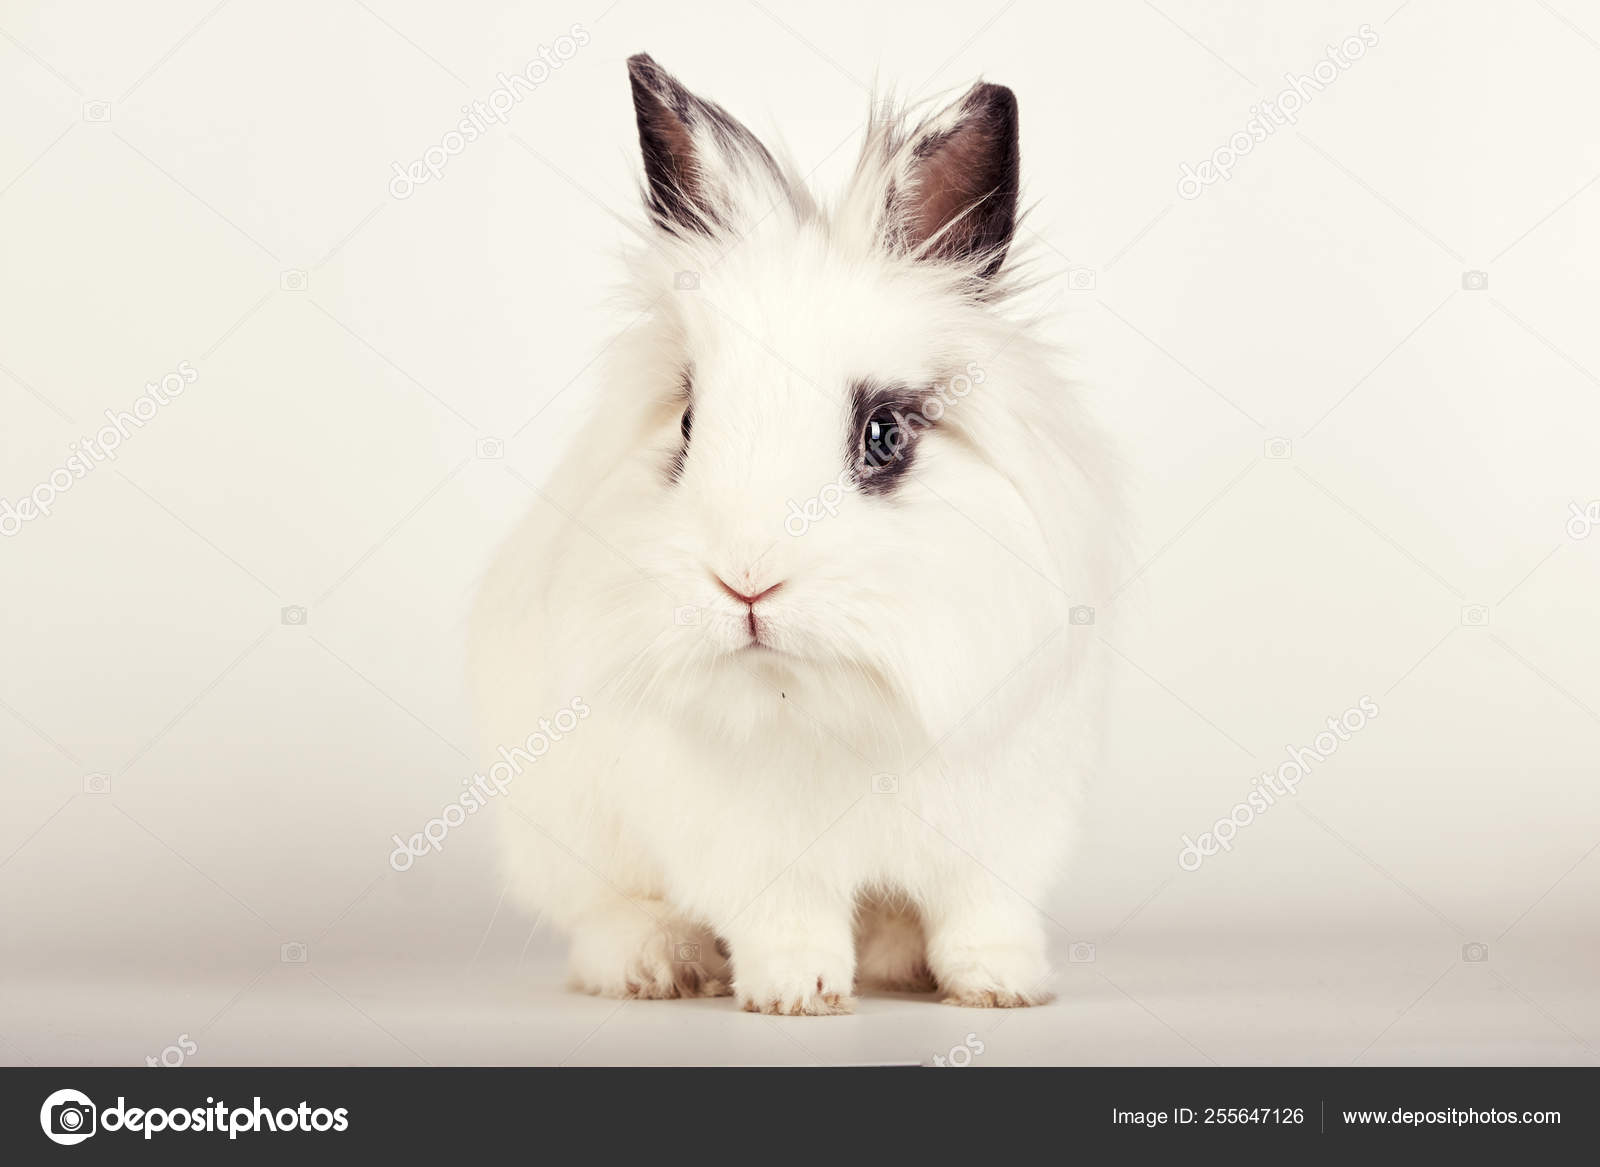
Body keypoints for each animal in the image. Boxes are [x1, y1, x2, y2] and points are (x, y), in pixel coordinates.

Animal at [469, 52, 1119, 1015]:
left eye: (884, 433)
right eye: (689, 424)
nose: (747, 581)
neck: (821, 695)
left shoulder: (1000, 824)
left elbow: (980, 910)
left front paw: (999, 987)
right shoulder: (751, 846)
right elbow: (789, 916)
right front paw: (796, 994)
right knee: (605, 915)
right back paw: (657, 964)